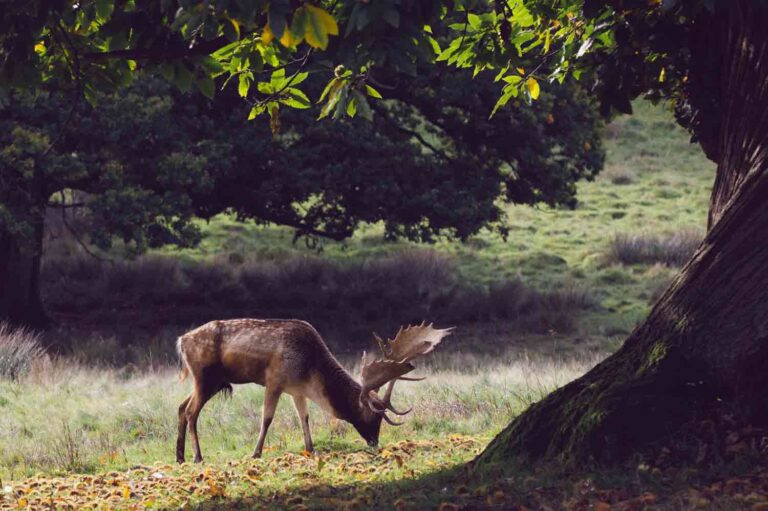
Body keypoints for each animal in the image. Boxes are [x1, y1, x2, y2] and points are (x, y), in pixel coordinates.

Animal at [175, 318, 452, 463]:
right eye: (373, 416)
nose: (374, 442)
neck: (310, 371)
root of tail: (181, 341)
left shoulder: (296, 389)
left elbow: (304, 417)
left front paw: (311, 448)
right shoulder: (274, 379)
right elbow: (267, 418)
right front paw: (256, 452)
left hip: (208, 382)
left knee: (180, 407)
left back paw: (179, 456)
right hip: (205, 377)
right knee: (191, 412)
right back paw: (197, 457)